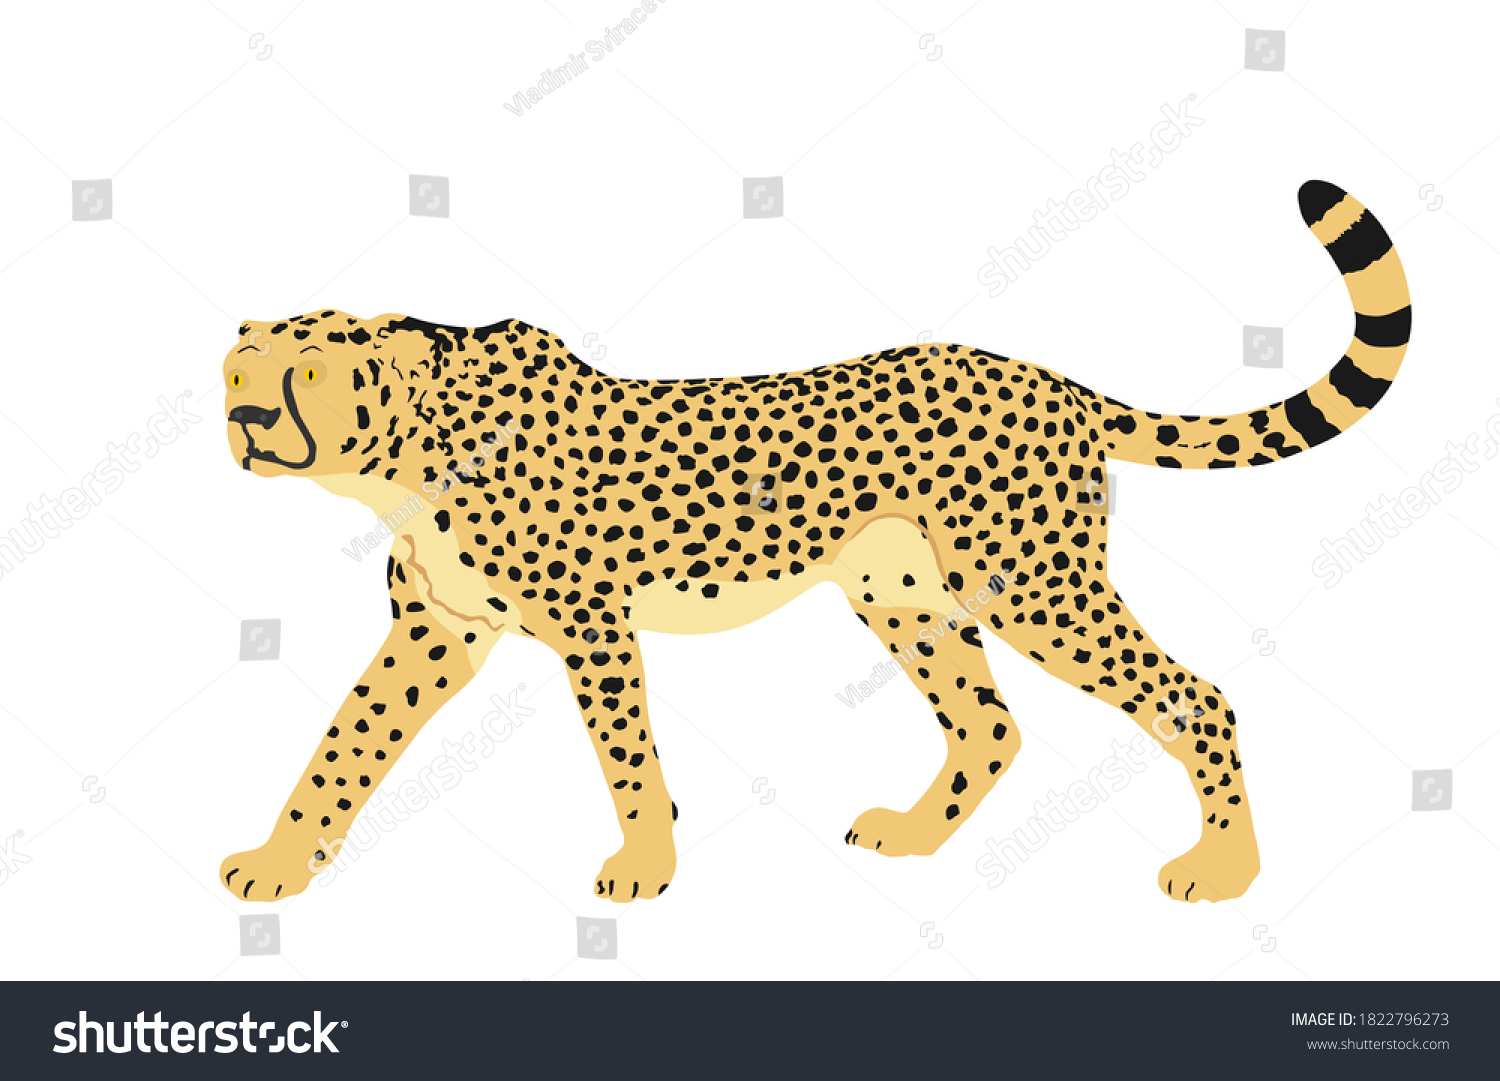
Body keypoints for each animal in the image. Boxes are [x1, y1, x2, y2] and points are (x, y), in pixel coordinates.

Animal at [219, 180, 1409, 905]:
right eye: (240, 370)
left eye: (311, 371)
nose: (246, 419)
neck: (408, 456)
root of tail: (1053, 379)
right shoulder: (436, 631)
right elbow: (343, 744)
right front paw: (279, 861)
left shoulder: (595, 630)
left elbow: (627, 758)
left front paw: (645, 864)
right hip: (905, 595)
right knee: (991, 725)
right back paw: (919, 837)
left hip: (1031, 585)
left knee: (1195, 696)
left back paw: (1227, 868)